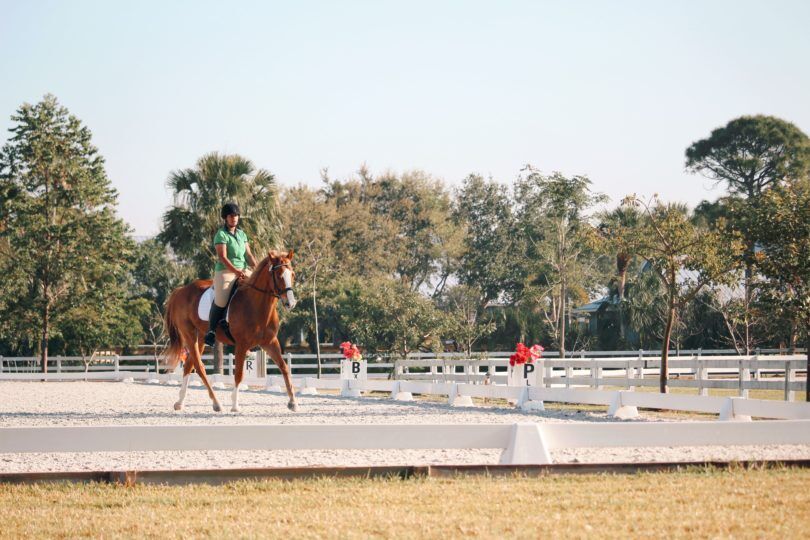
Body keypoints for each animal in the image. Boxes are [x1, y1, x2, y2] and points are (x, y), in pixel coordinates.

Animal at [163, 249, 298, 413]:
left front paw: (293, 402)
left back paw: (180, 402)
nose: (291, 303)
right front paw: (234, 405)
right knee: (199, 367)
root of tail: (181, 290)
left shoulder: (270, 342)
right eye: (279, 275)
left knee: (189, 365)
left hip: (200, 337)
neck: (256, 305)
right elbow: (239, 374)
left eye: (292, 275)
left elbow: (284, 368)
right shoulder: (241, 345)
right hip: (189, 335)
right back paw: (216, 403)